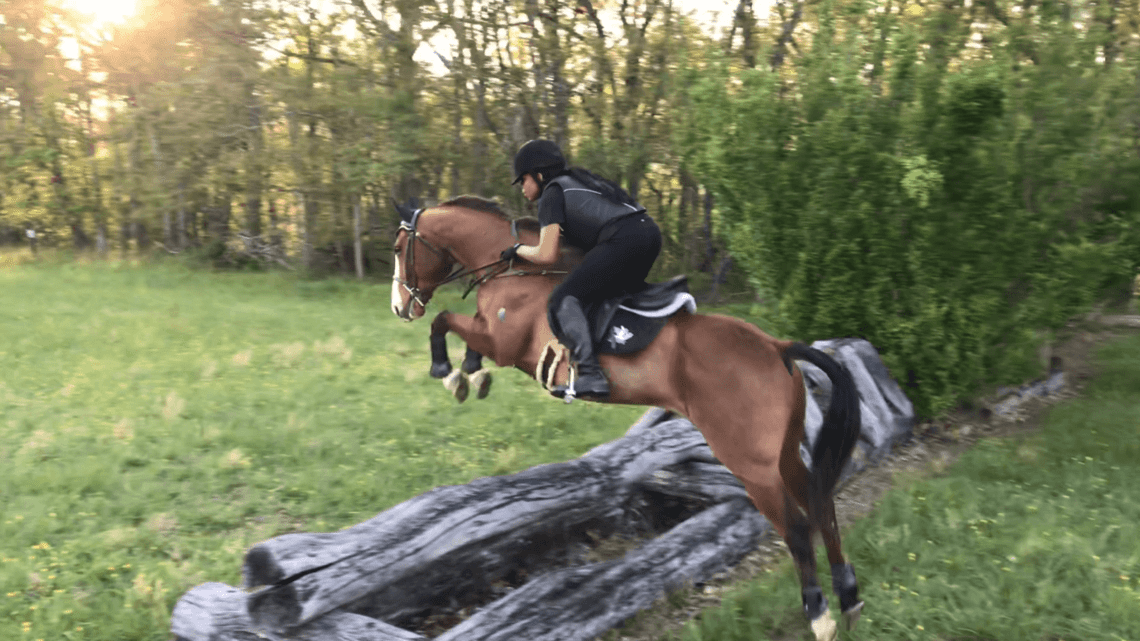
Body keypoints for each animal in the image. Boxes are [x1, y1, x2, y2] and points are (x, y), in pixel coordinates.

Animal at [389, 196, 864, 641]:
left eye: (398, 248)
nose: (399, 307)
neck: (511, 272)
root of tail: (776, 347)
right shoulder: (492, 334)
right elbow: (461, 332)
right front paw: (471, 372)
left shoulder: (504, 342)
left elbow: (444, 320)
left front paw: (449, 373)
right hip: (782, 452)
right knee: (821, 503)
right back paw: (849, 599)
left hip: (750, 463)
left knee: (797, 528)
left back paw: (820, 615)